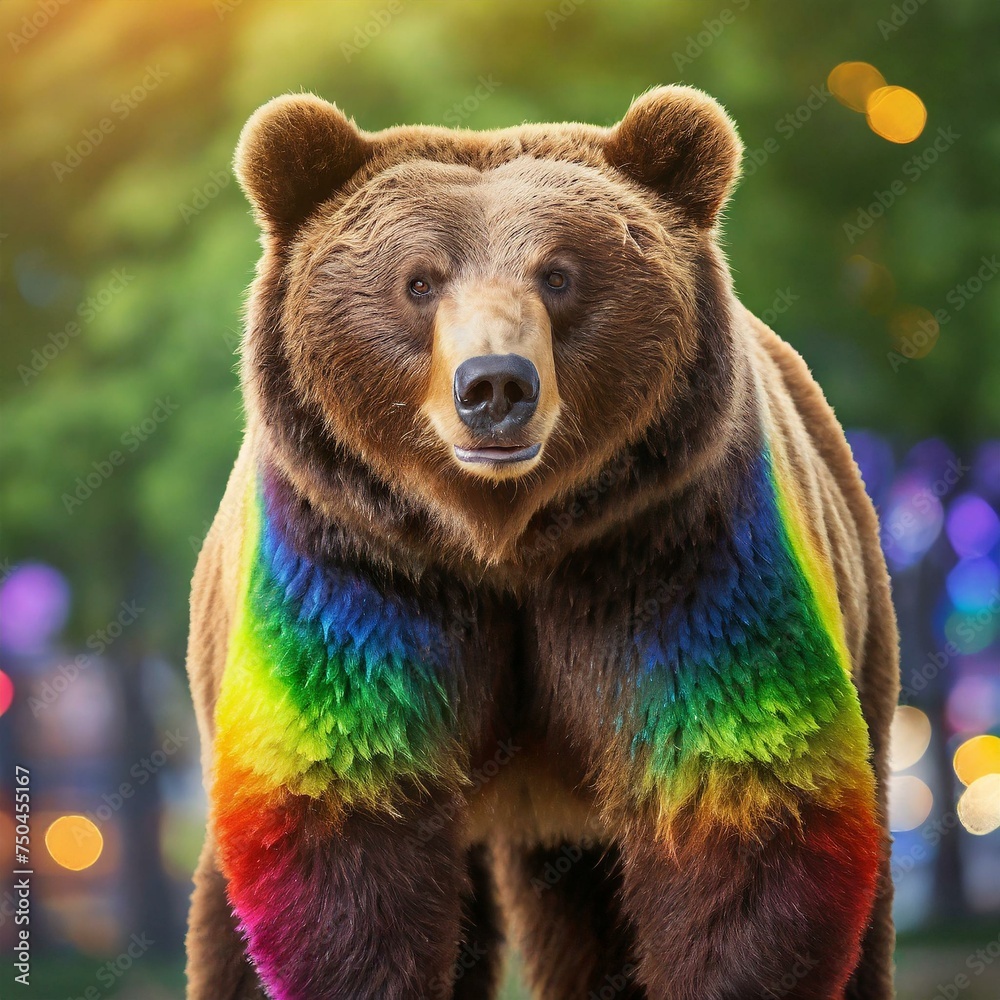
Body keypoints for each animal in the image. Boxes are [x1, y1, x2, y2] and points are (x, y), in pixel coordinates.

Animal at [184, 86, 899, 1000]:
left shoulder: (667, 547)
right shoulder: (358, 565)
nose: (495, 386)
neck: (504, 541)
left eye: (560, 274)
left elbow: (744, 808)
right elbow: (345, 826)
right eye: (419, 281)